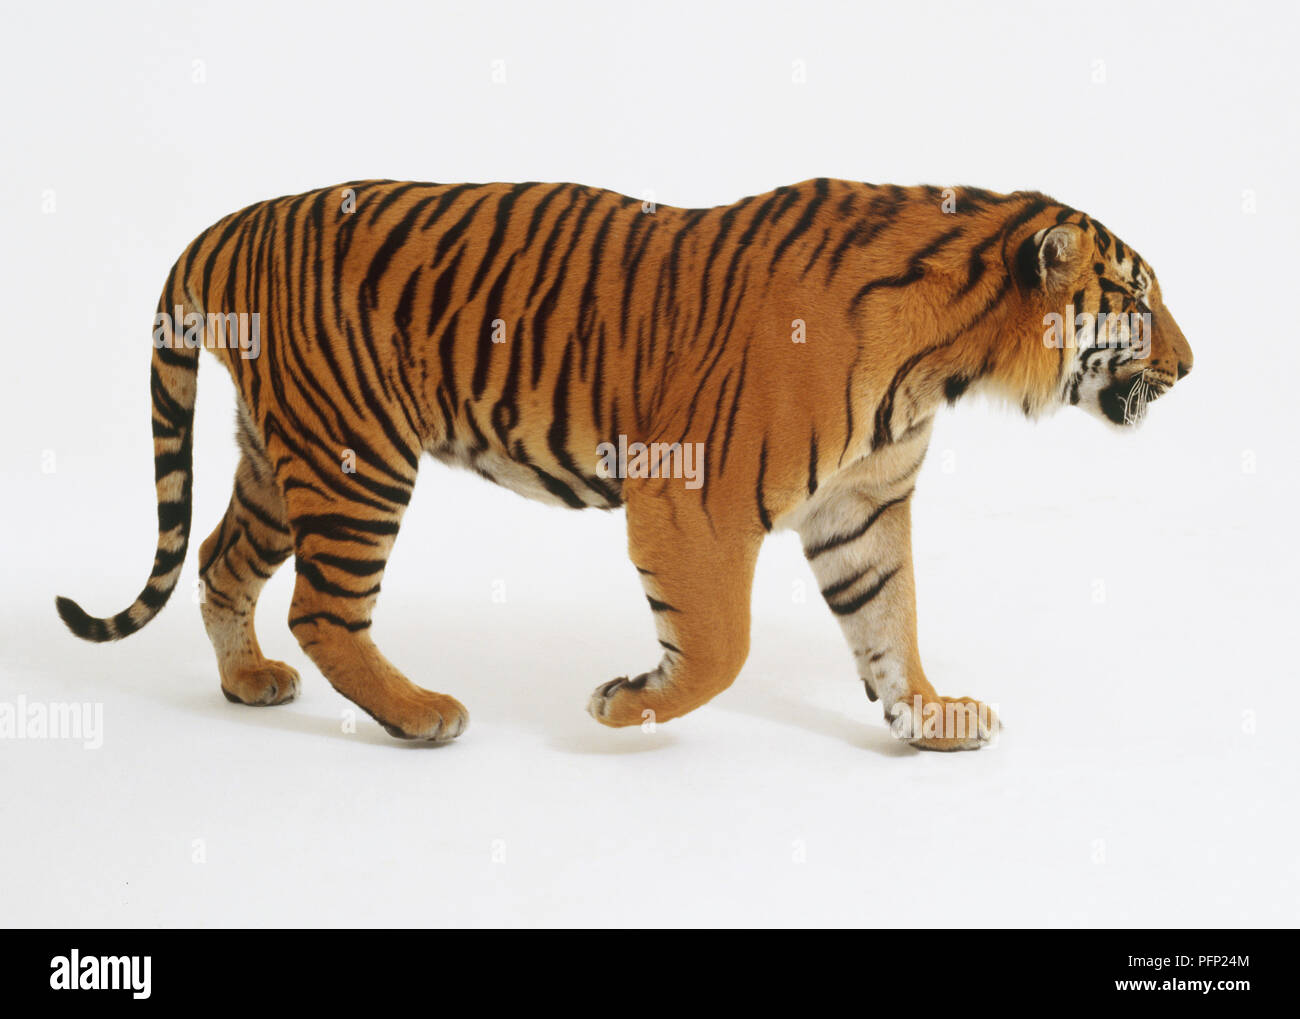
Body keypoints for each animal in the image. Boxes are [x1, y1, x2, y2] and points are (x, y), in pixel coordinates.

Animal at [55, 178, 1192, 751]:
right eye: (1136, 299)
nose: (1190, 367)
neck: (947, 363)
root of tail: (230, 223)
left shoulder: (863, 506)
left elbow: (890, 619)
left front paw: (930, 718)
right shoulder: (695, 493)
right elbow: (723, 645)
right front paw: (625, 702)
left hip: (279, 451)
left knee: (218, 561)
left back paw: (248, 681)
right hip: (355, 456)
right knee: (325, 607)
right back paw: (420, 712)